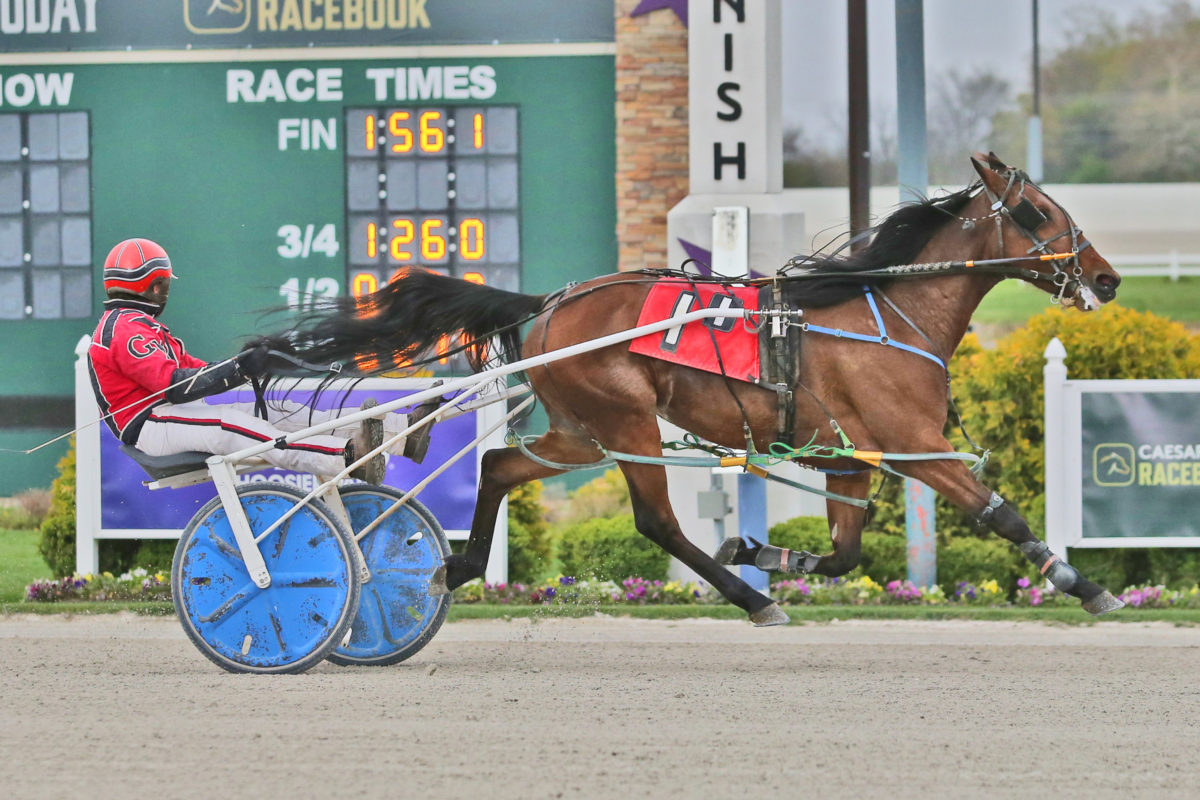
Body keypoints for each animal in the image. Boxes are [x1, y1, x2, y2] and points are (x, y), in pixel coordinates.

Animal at [254, 152, 1125, 624]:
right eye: (1039, 210)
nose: (1108, 278)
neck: (884, 311)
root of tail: (548, 304)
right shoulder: (917, 445)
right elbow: (1004, 516)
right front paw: (1084, 586)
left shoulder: (850, 460)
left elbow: (844, 553)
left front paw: (764, 548)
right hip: (628, 423)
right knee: (658, 523)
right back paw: (751, 598)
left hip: (580, 431)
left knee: (500, 466)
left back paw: (460, 566)